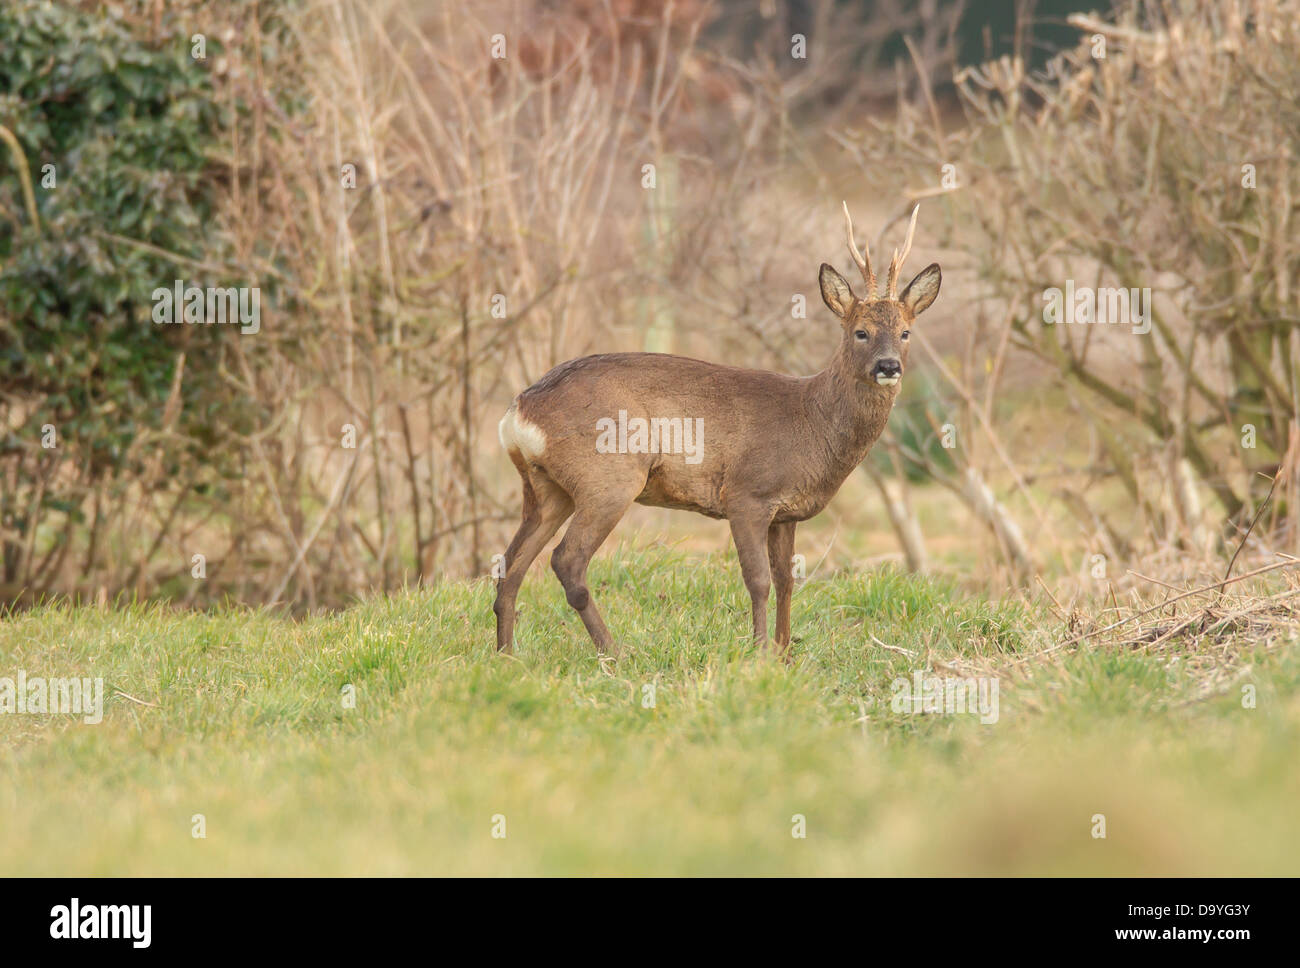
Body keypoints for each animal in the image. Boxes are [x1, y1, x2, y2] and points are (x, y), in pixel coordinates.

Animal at [494, 202, 940, 658]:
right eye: (860, 332)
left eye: (905, 332)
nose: (889, 366)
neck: (811, 424)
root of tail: (520, 409)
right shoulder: (747, 494)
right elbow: (758, 580)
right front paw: (759, 652)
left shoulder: (786, 513)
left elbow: (787, 581)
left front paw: (784, 652)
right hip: (608, 478)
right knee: (567, 560)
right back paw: (614, 653)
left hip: (547, 488)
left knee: (511, 564)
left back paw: (506, 654)